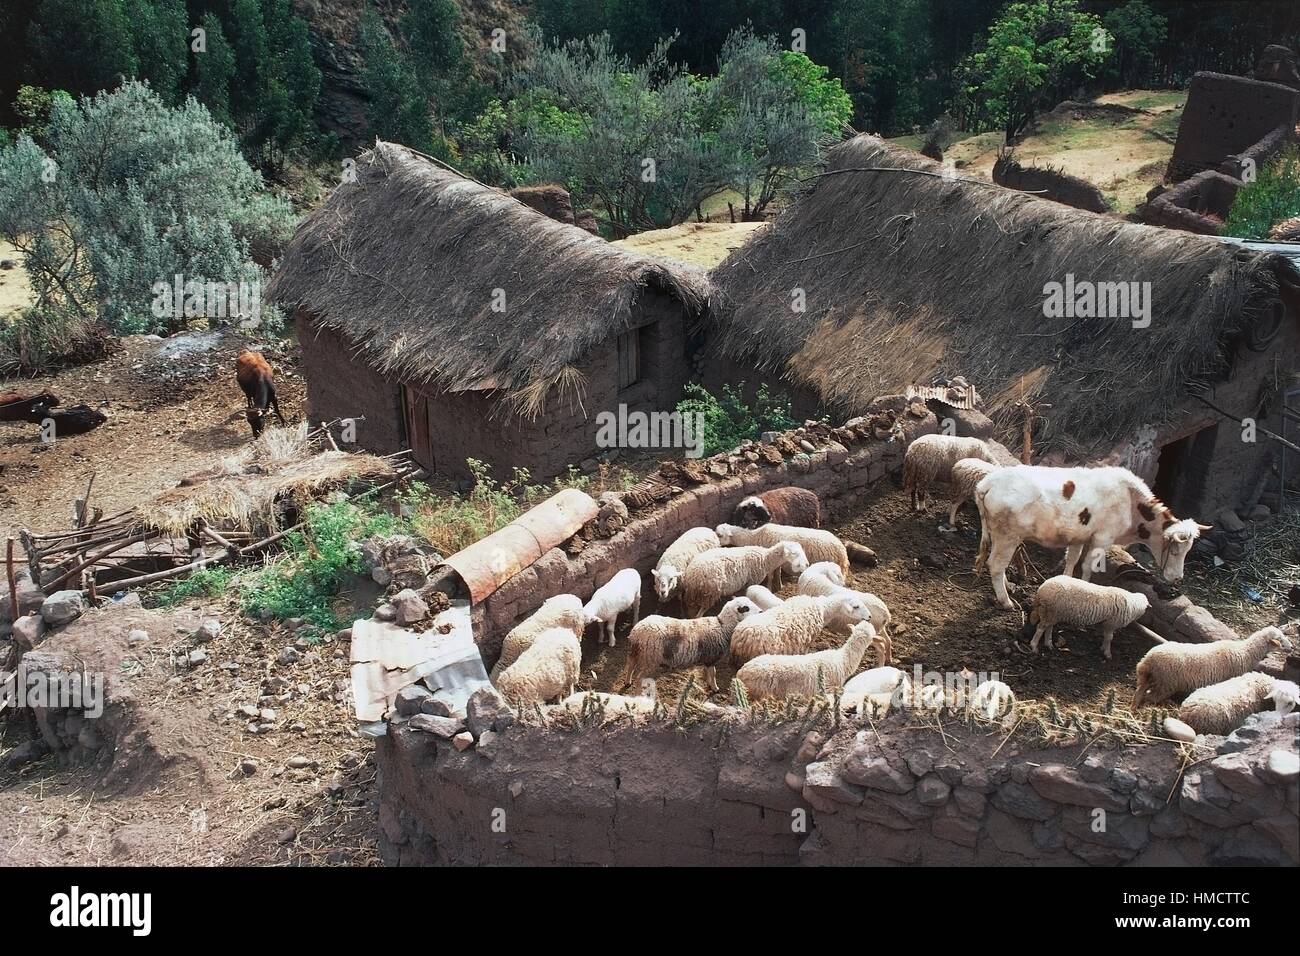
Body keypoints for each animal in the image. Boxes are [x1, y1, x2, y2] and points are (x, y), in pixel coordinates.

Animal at [619, 596, 756, 692]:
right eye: (746, 608)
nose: (759, 612)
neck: (722, 626)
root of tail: (638, 630)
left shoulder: (708, 658)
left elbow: (710, 673)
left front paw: (710, 684)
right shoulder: (712, 657)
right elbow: (714, 673)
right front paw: (715, 688)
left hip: (635, 652)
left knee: (630, 666)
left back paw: (627, 682)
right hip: (650, 657)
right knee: (640, 678)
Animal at [679, 541, 808, 618]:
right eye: (794, 553)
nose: (806, 564)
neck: (766, 558)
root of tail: (692, 575)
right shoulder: (751, 582)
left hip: (694, 595)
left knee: (691, 609)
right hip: (710, 593)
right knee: (699, 613)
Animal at [715, 522, 849, 584]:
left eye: (720, 535)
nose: (717, 546)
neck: (753, 536)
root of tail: (841, 550)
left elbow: (771, 575)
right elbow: (777, 572)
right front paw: (779, 584)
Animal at [973, 465, 1208, 609]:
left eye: (1188, 551)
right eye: (1175, 550)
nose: (1178, 578)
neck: (1130, 502)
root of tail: (987, 484)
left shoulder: (1079, 537)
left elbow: (1072, 560)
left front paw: (1066, 583)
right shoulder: (1102, 538)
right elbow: (1088, 567)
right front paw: (1085, 588)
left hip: (996, 534)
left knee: (995, 562)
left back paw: (1009, 586)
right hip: (1008, 536)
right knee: (996, 565)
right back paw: (1006, 601)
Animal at [1134, 626, 1292, 707]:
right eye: (1279, 640)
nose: (1291, 647)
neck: (1245, 652)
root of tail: (1148, 660)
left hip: (1147, 678)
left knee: (1140, 692)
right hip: (1166, 683)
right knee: (1150, 696)